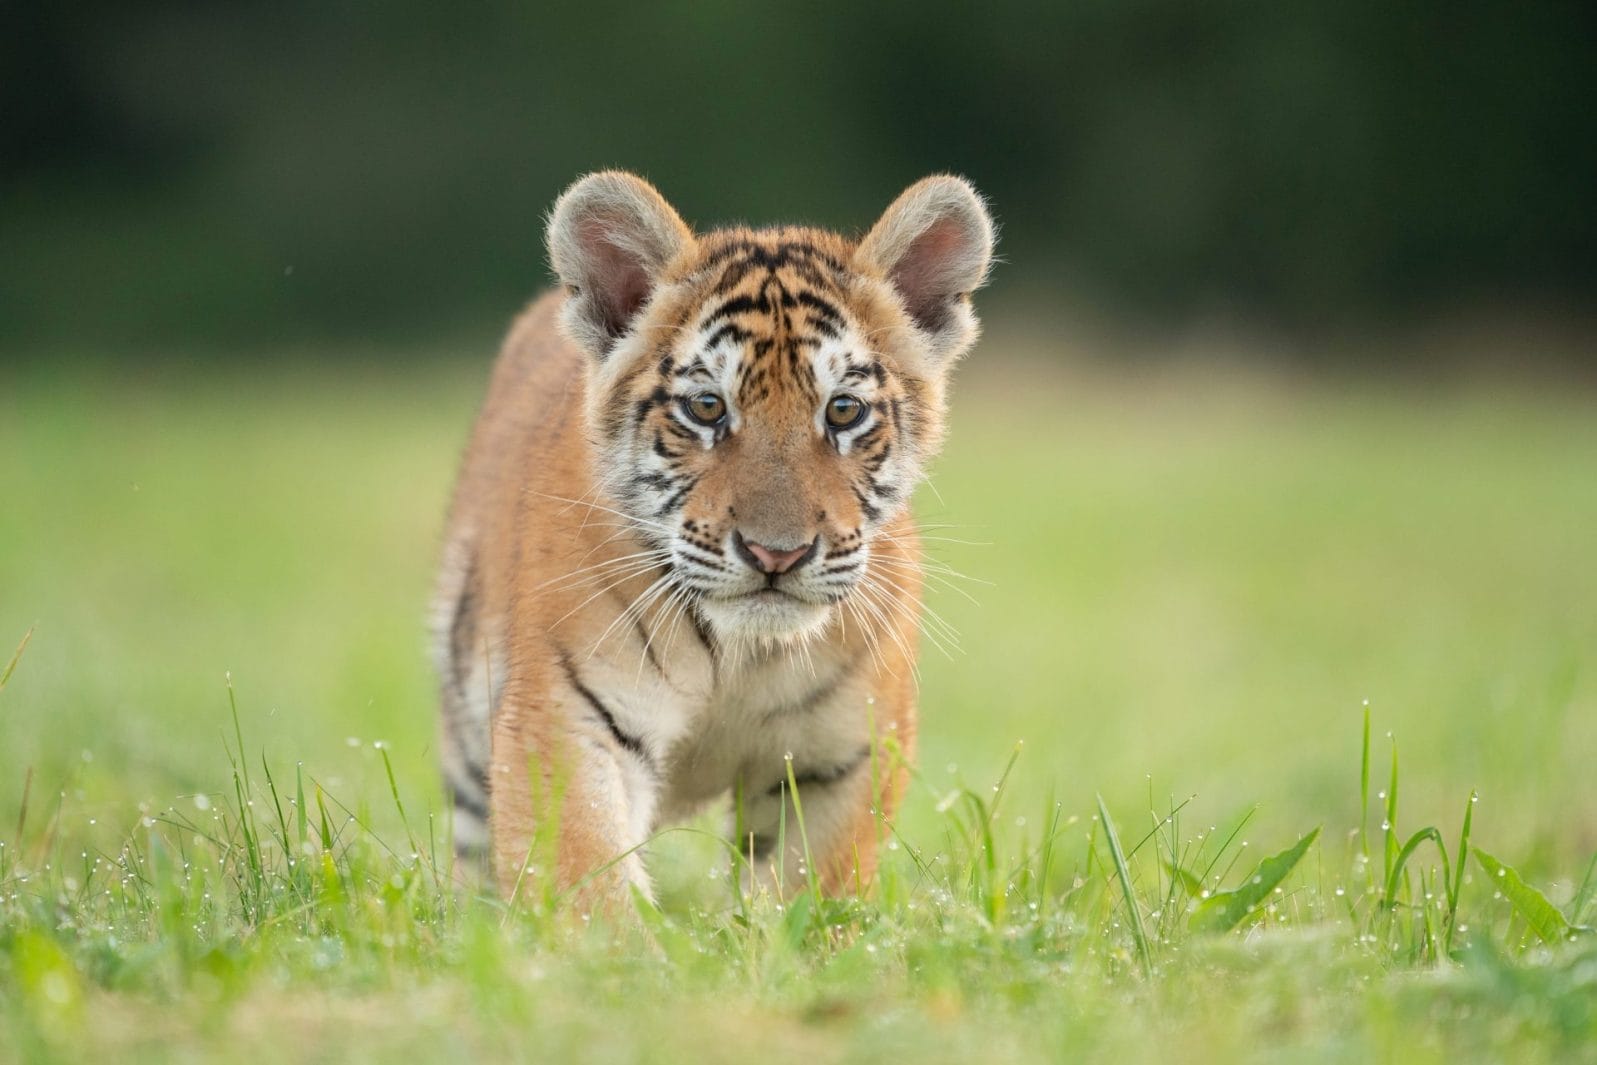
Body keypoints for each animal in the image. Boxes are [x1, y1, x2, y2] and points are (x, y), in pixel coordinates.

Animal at [432, 170, 994, 910]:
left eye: (843, 411)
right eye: (707, 408)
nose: (777, 553)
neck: (741, 656)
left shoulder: (842, 755)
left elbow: (811, 891)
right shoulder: (566, 719)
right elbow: (589, 884)